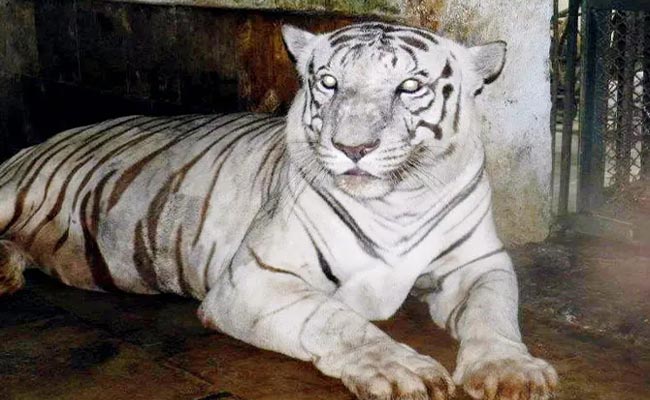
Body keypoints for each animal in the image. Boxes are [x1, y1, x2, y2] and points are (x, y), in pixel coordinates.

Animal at [0, 22, 558, 400]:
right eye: (329, 82)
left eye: (410, 87)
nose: (353, 148)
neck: (396, 202)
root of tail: (46, 138)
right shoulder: (255, 277)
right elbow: (336, 318)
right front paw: (401, 371)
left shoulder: (477, 265)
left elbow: (494, 312)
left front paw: (512, 371)